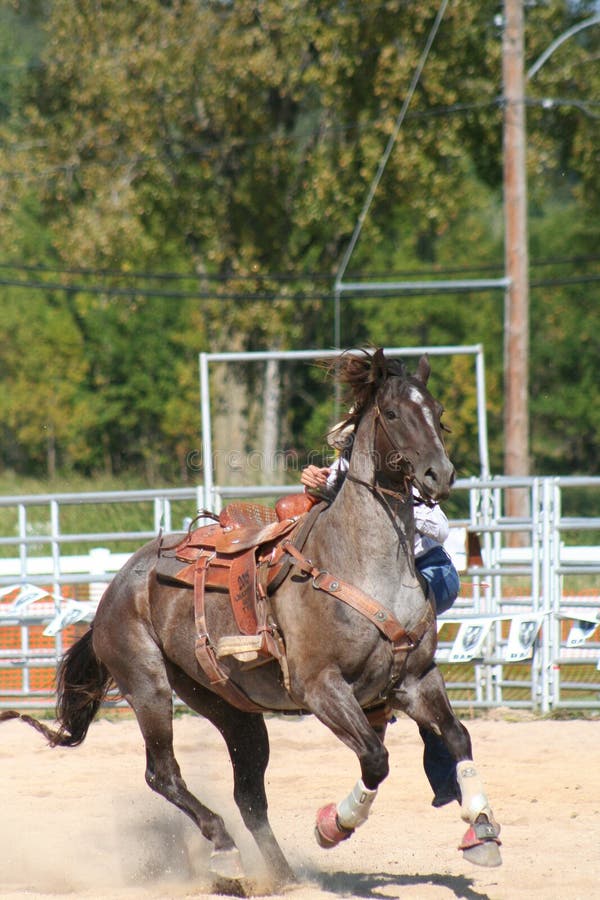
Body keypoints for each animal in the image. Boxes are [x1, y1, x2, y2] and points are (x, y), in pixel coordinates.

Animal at [0, 348, 501, 889]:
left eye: (438, 412)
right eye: (392, 413)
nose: (439, 475)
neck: (364, 566)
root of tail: (114, 592)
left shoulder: (416, 678)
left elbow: (457, 737)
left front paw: (483, 828)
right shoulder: (320, 687)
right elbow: (375, 758)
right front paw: (333, 826)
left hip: (230, 708)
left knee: (249, 795)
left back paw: (281, 877)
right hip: (149, 686)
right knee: (164, 773)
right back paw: (226, 852)